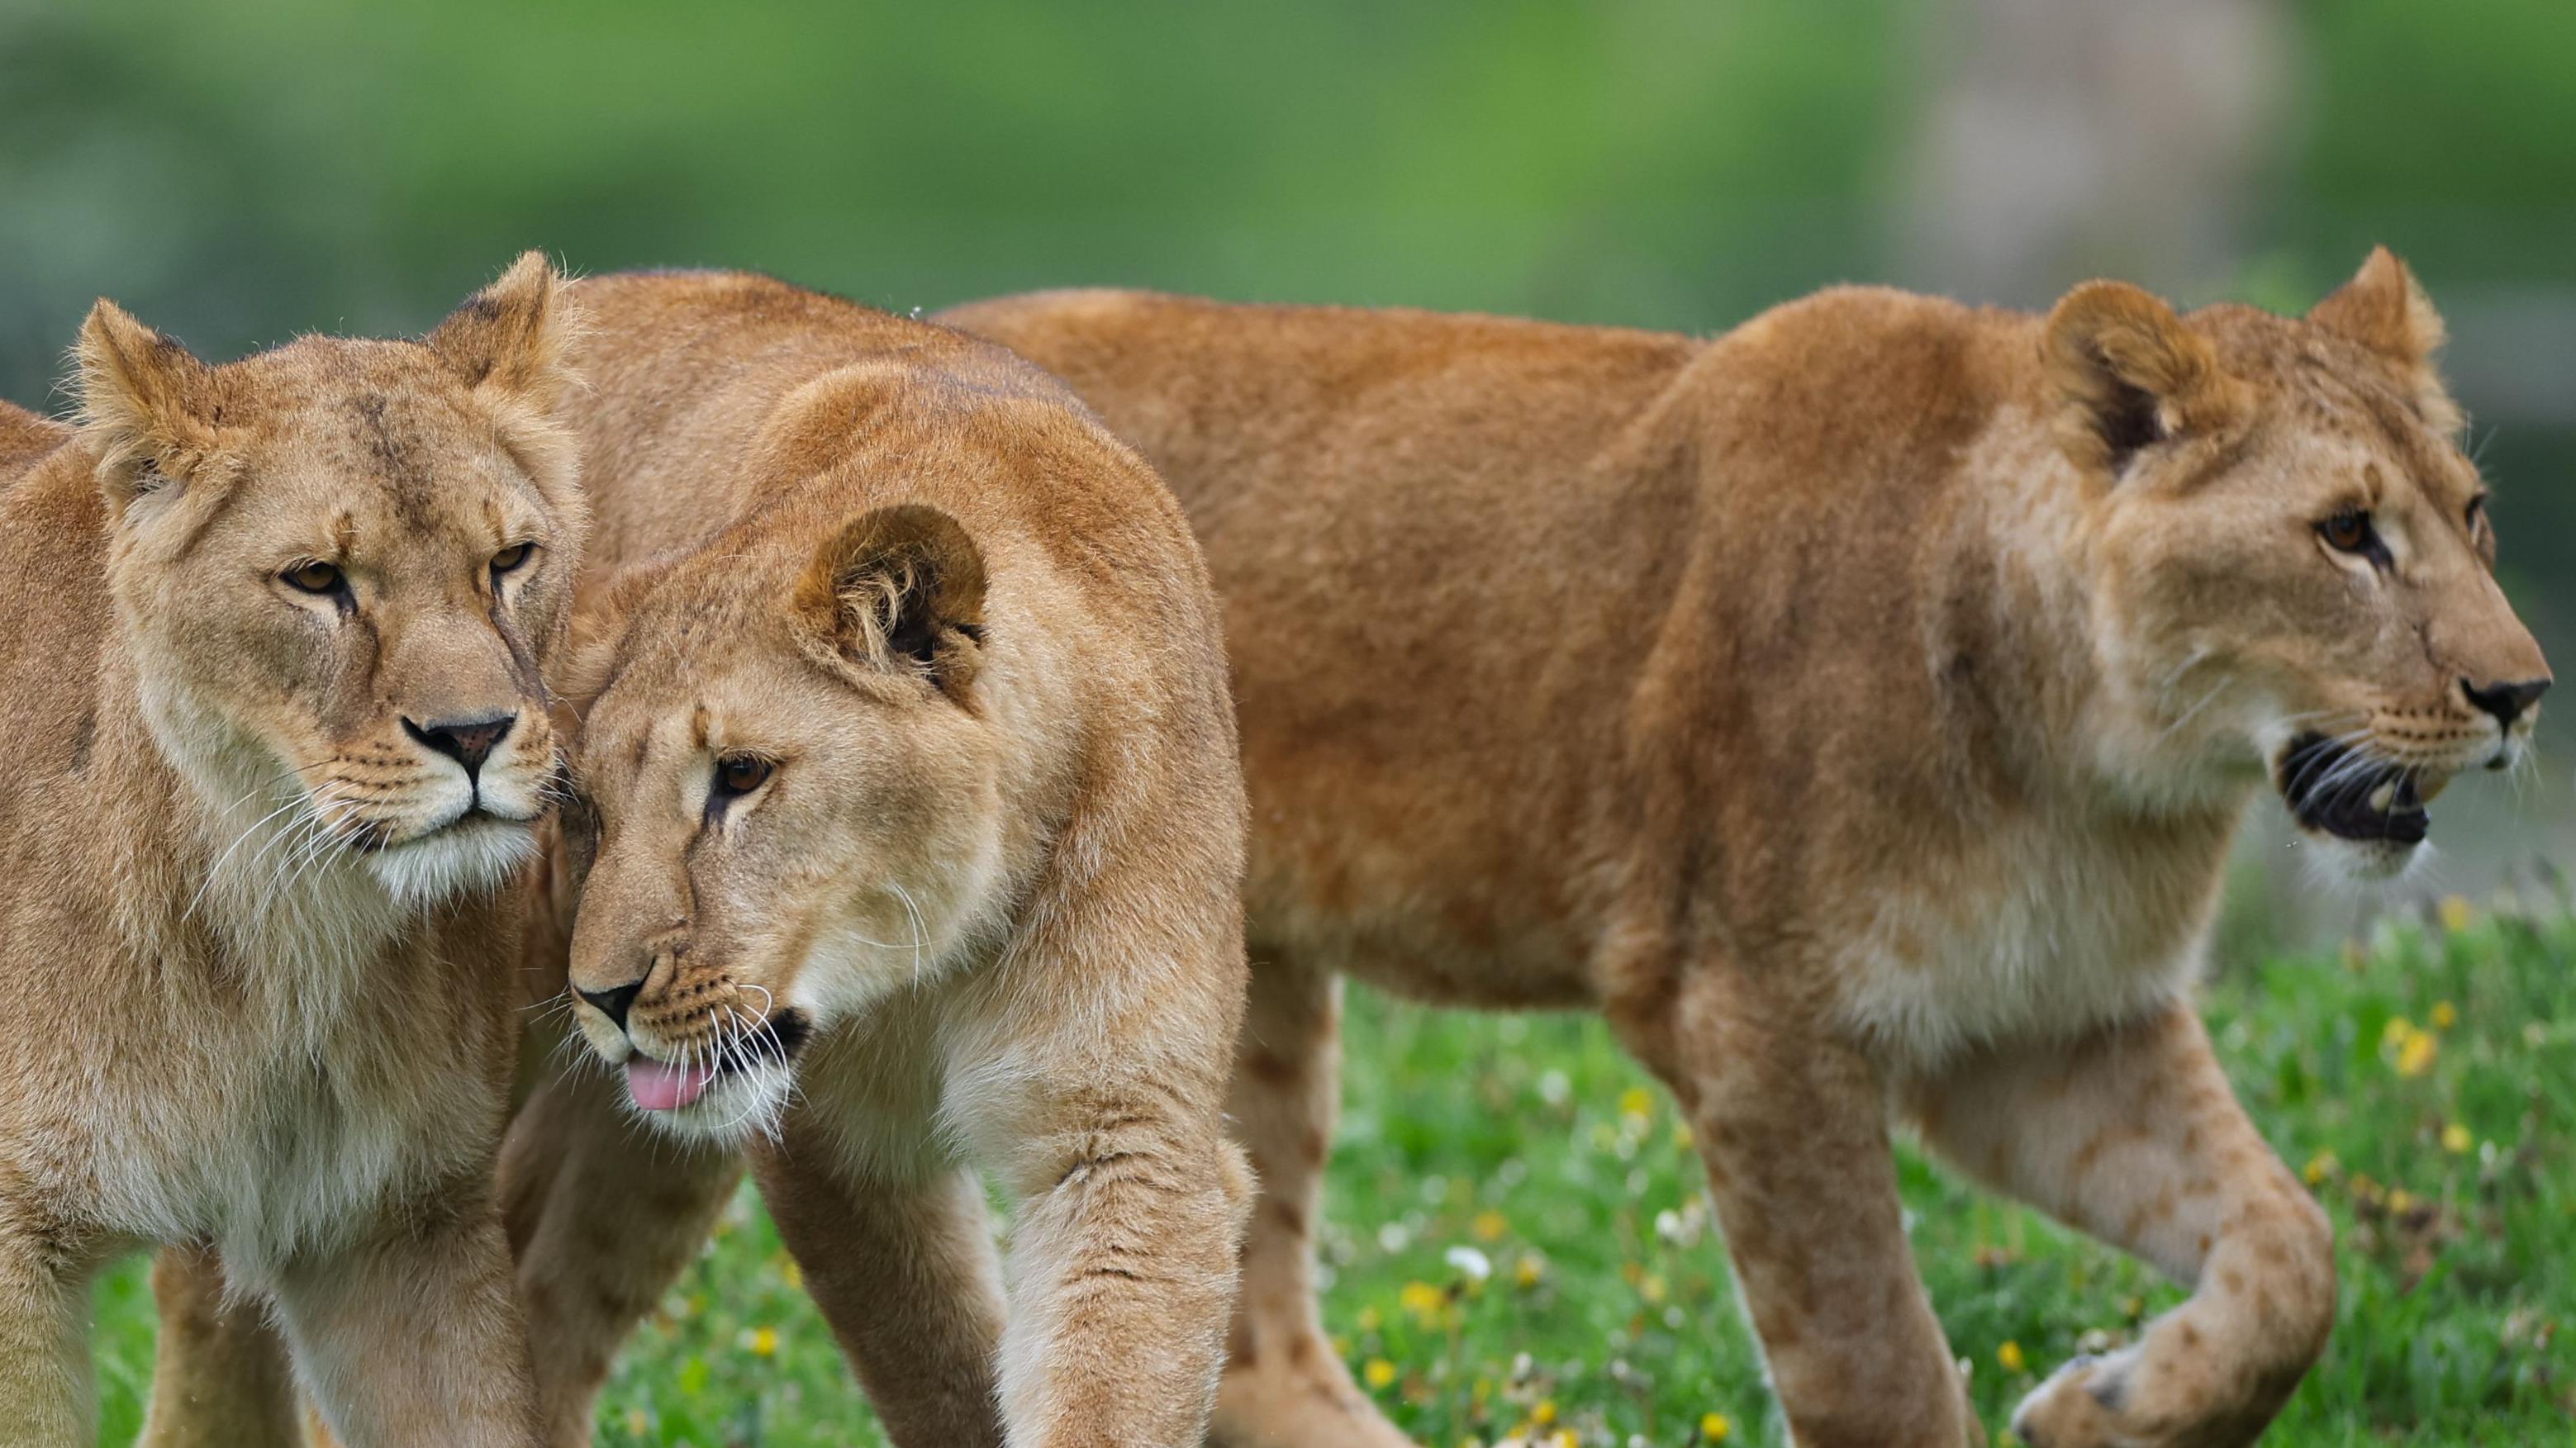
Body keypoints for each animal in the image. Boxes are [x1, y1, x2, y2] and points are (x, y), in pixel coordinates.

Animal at [928, 249, 2550, 1447]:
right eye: (2344, 533)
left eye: (2473, 514)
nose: (2522, 694)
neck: (2102, 770)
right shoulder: (1747, 1012)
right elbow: (1874, 1361)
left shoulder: (2042, 1030)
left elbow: (2289, 1252)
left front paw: (2110, 1406)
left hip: (1230, 986)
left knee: (1244, 1310)